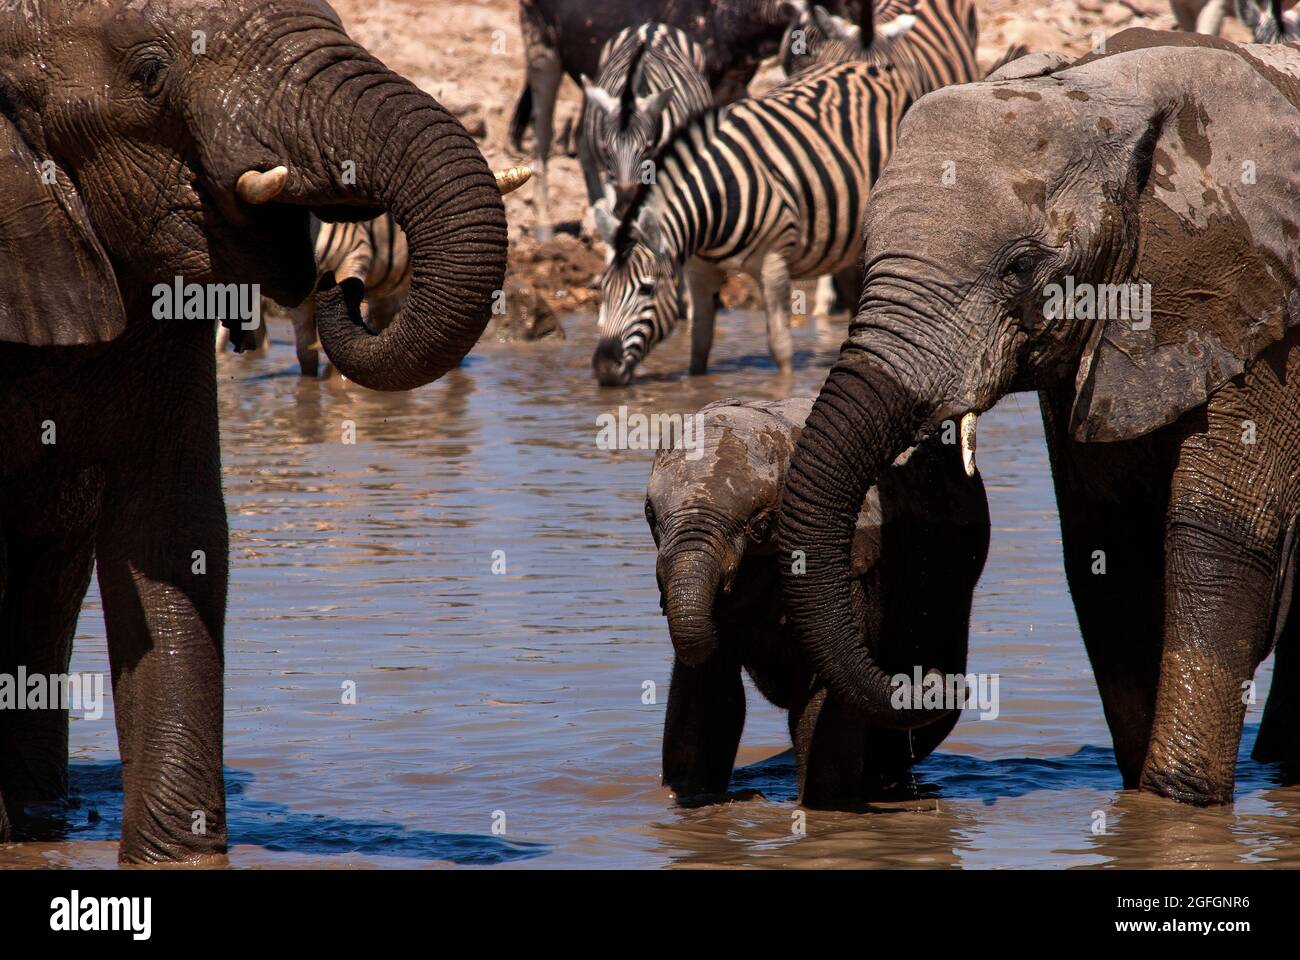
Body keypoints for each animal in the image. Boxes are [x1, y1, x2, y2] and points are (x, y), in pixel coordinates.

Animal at [648, 398, 989, 807]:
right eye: (649, 515)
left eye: (760, 527)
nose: (935, 679)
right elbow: (709, 695)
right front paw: (694, 798)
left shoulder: (857, 566)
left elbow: (820, 699)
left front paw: (823, 808)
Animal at [778, 29, 1300, 806]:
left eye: (1020, 269)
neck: (1113, 91)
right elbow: (1108, 547)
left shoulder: (1266, 317)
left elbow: (1217, 543)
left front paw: (1175, 805)